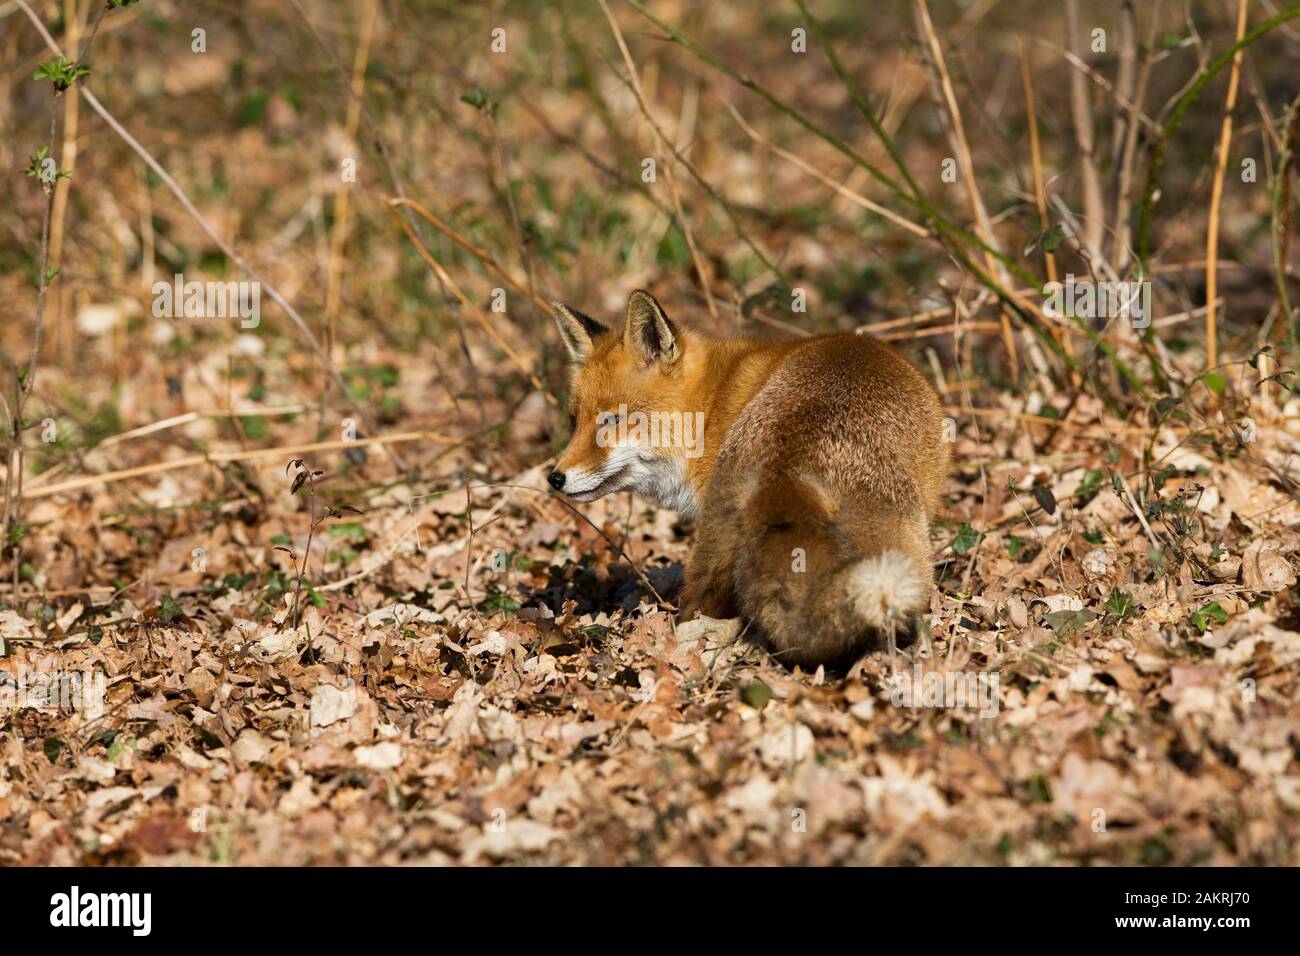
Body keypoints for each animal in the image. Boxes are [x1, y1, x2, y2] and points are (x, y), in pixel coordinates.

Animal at [548, 289, 950, 668]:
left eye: (611, 420)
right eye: (574, 421)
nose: (554, 478)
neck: (710, 409)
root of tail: (787, 464)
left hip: (713, 548)